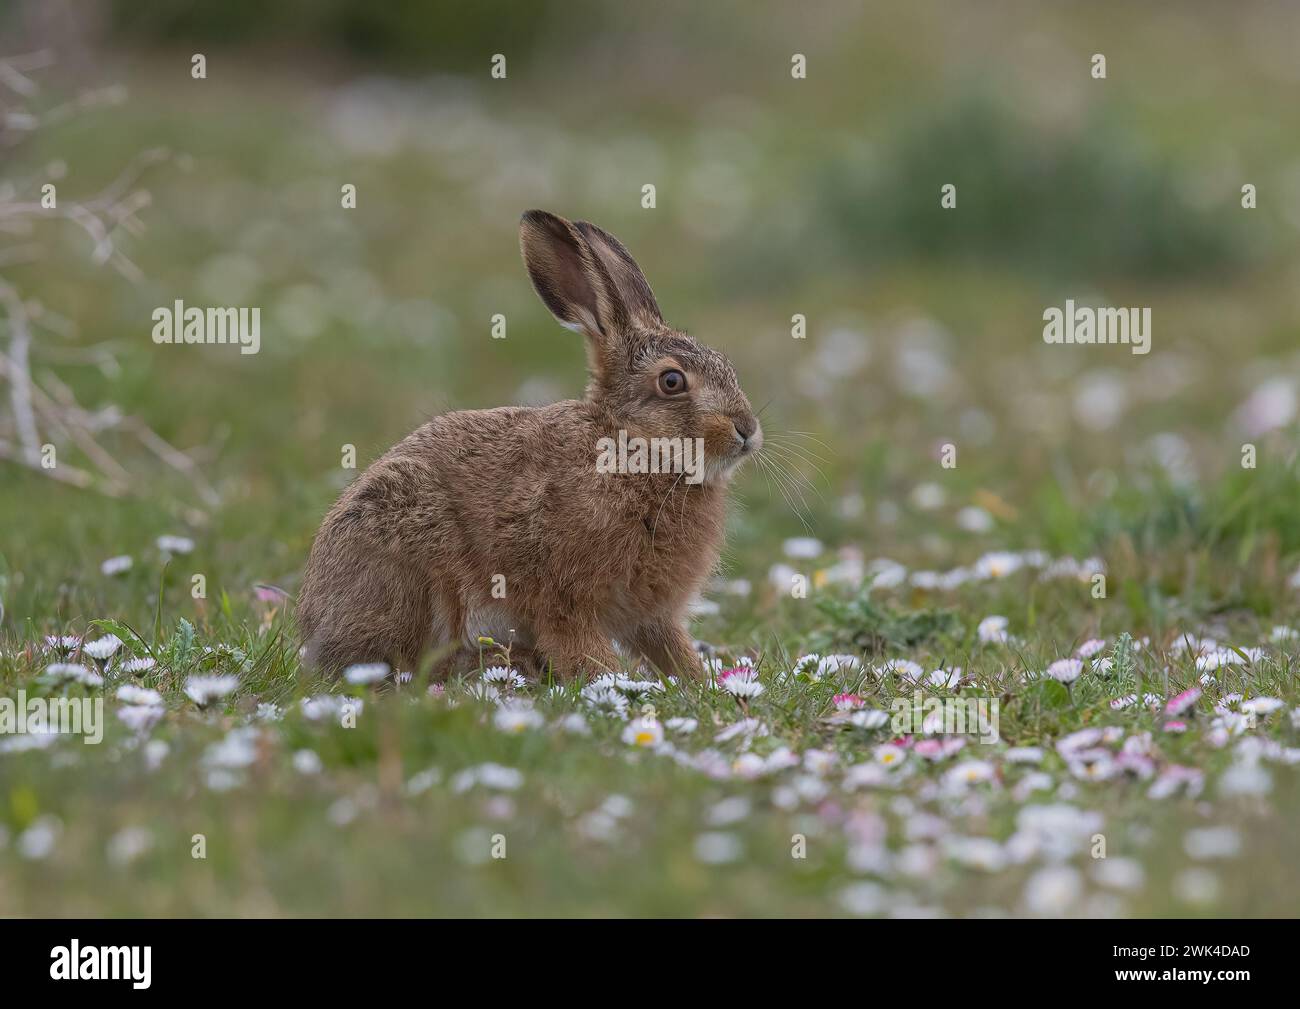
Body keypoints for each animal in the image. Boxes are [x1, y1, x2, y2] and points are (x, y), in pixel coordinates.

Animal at [297, 209, 762, 680]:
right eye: (671, 382)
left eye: (727, 367)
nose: (746, 429)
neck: (632, 446)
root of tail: (314, 622)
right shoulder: (563, 598)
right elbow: (581, 645)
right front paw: (604, 677)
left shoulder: (652, 615)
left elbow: (672, 649)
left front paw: (697, 682)